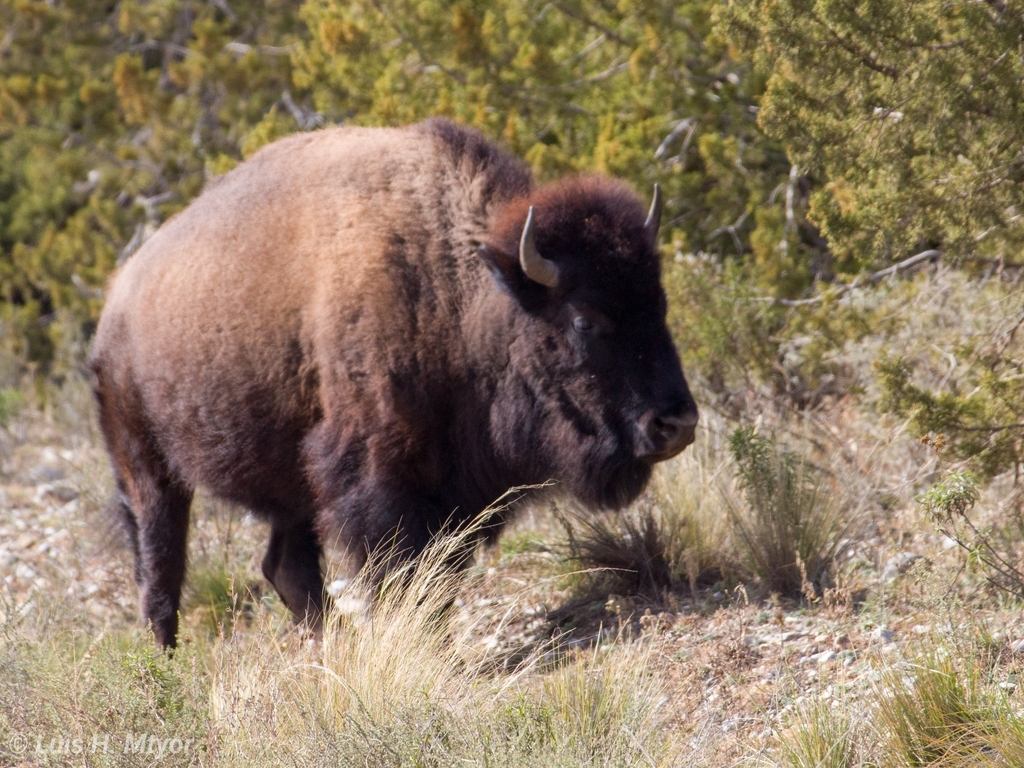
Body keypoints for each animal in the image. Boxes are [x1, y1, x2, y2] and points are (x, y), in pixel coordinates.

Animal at [91, 118, 698, 648]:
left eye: (661, 304)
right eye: (585, 320)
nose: (676, 423)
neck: (461, 291)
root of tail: (117, 299)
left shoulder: (454, 490)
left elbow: (437, 571)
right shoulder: (377, 476)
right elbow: (401, 570)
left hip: (289, 482)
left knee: (285, 565)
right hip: (145, 468)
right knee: (160, 570)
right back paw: (165, 663)